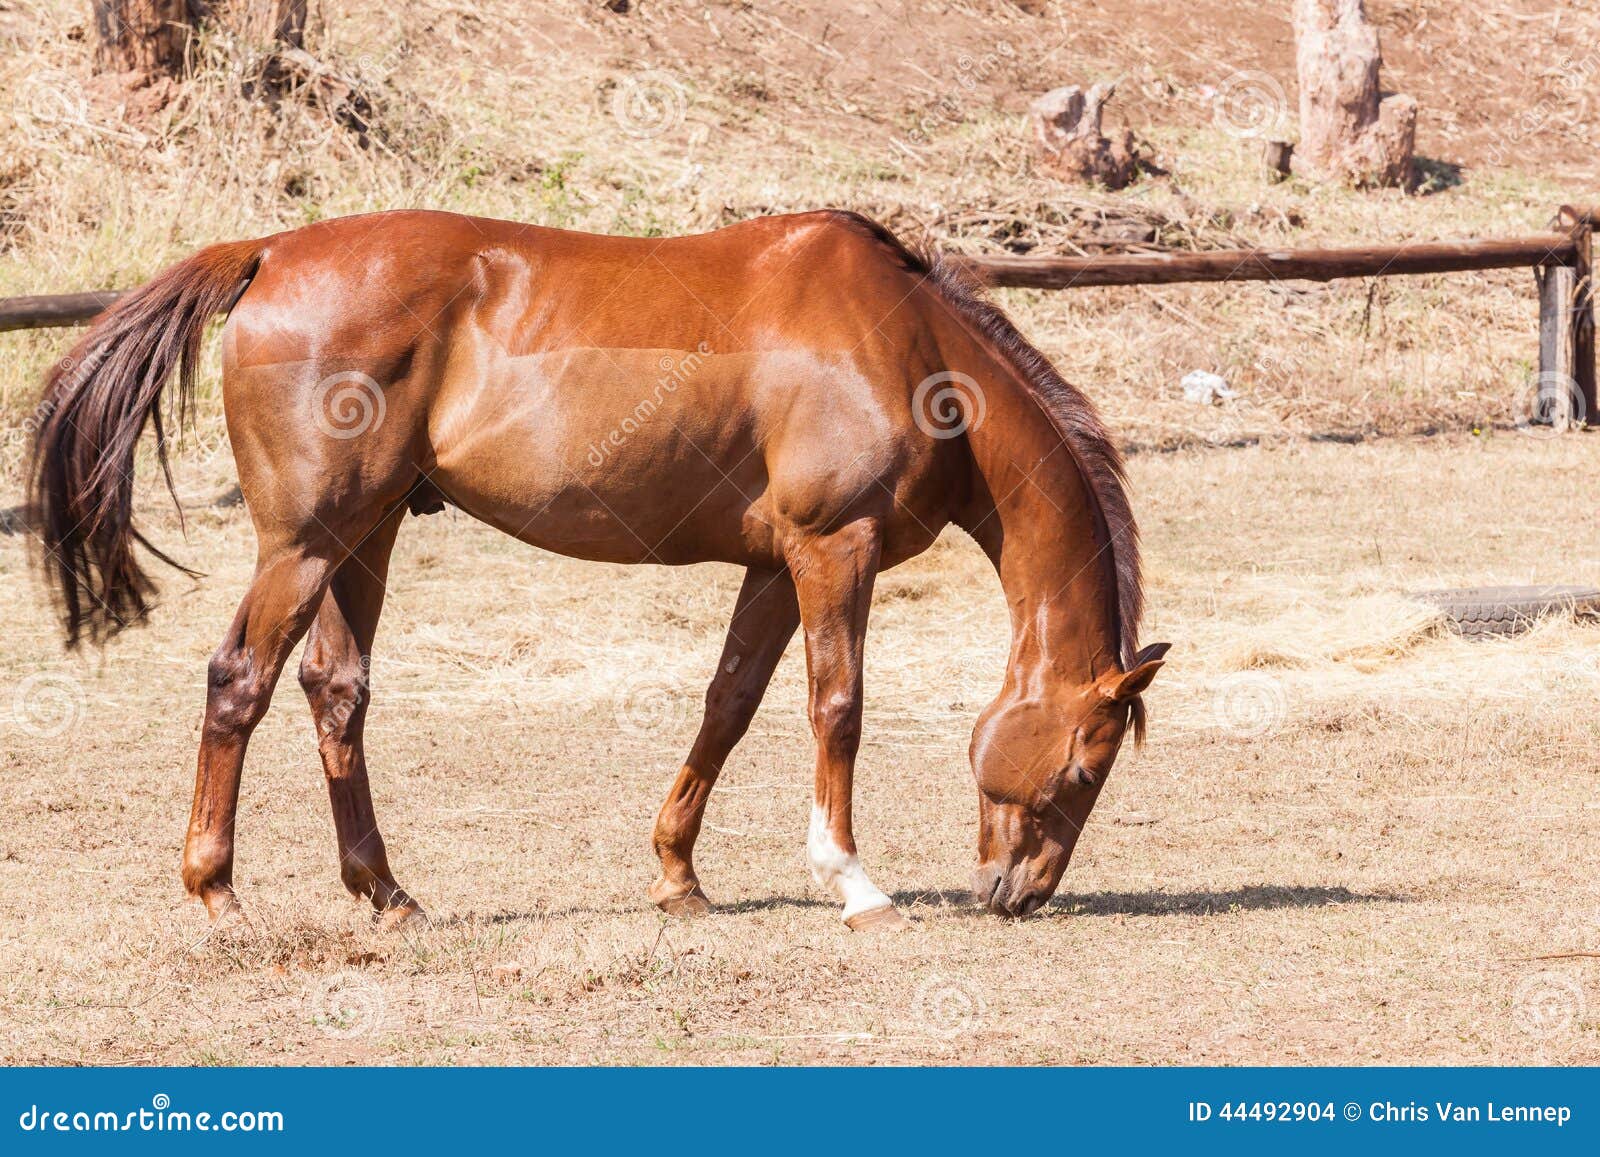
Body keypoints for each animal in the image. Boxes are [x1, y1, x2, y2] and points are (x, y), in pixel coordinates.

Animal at [30, 208, 1167, 931]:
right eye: (1084, 767)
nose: (1019, 891)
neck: (912, 353)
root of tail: (270, 252)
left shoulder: (773, 565)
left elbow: (729, 703)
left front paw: (678, 874)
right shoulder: (832, 548)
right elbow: (836, 706)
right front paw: (852, 881)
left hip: (366, 534)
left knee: (334, 691)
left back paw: (387, 893)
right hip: (306, 544)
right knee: (241, 683)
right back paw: (218, 892)